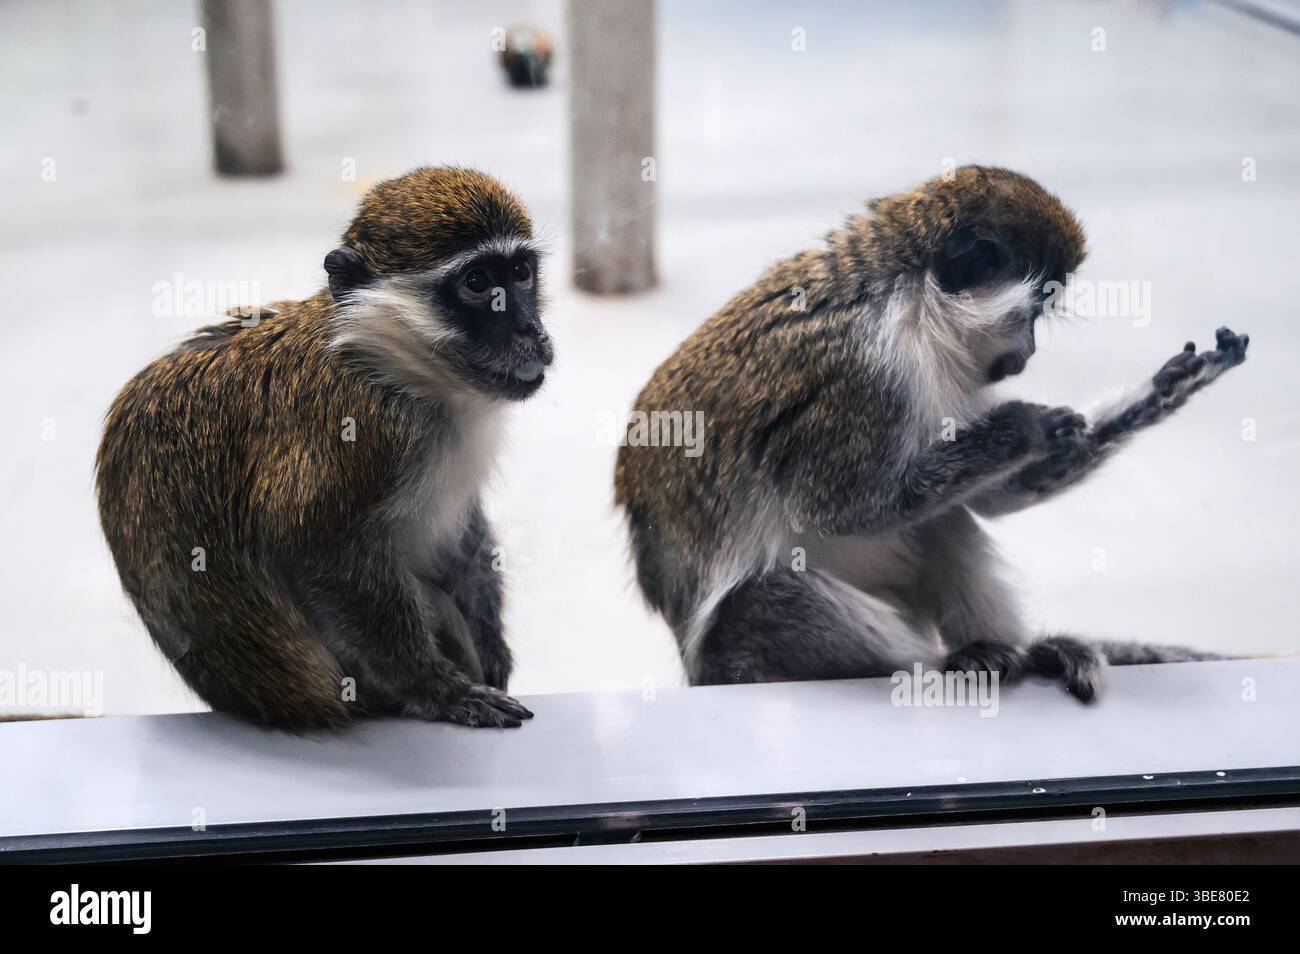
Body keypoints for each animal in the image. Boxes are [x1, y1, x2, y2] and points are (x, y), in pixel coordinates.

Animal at [96, 166, 553, 730]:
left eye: (520, 272)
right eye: (477, 283)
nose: (531, 330)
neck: (398, 371)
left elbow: (463, 533)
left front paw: (494, 651)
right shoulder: (363, 428)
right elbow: (316, 551)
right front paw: (438, 689)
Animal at [614, 165, 1249, 702]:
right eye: (1033, 312)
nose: (1029, 352)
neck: (915, 298)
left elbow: (990, 500)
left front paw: (1171, 385)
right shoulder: (865, 372)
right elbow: (839, 508)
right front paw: (1023, 427)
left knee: (948, 518)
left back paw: (1028, 652)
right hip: (734, 662)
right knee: (765, 599)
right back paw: (953, 663)